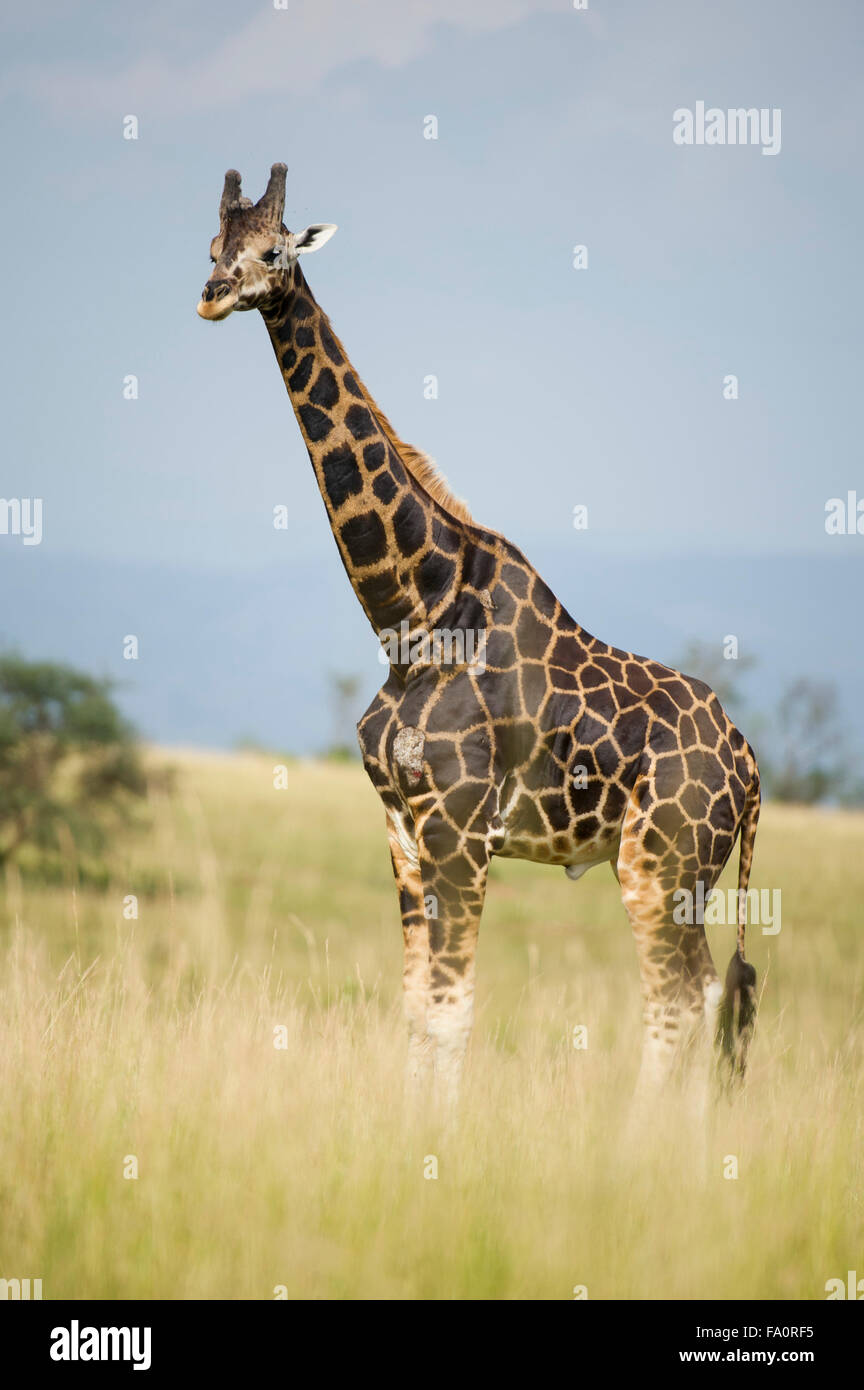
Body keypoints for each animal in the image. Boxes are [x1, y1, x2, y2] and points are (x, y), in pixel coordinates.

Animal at [197, 165, 760, 1107]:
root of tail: (752, 770)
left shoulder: (459, 827)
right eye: (213, 246)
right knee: (712, 993)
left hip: (661, 863)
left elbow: (453, 1009)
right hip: (682, 871)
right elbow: (416, 1006)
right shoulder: (400, 827)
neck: (411, 613)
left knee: (681, 998)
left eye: (273, 251)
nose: (210, 295)